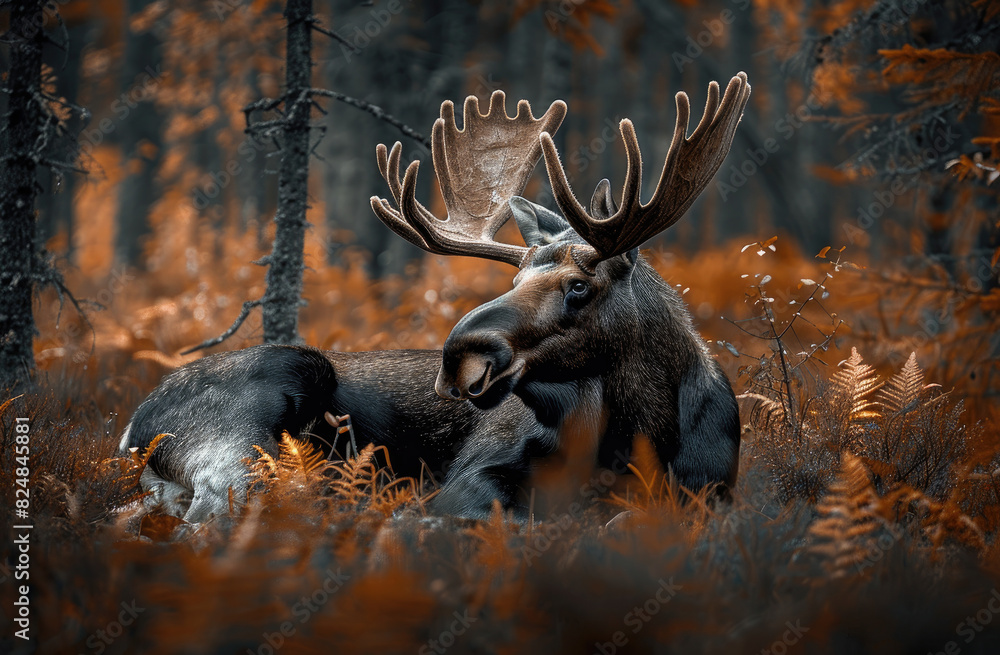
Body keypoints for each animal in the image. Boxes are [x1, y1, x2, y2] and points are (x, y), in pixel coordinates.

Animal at [120, 73, 750, 523]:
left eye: (578, 286)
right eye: (514, 283)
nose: (459, 355)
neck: (648, 439)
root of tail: (133, 429)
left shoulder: (714, 495)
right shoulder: (474, 473)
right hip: (250, 432)